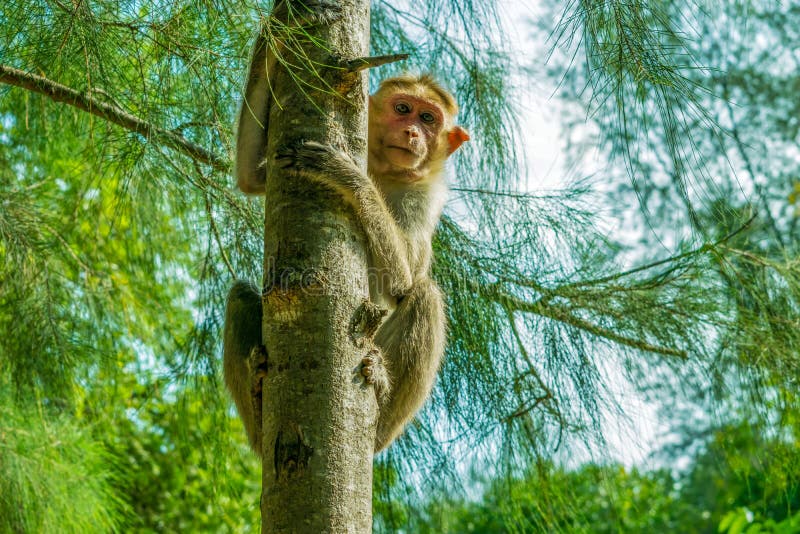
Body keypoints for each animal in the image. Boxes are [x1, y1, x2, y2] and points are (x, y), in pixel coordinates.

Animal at [225, 32, 470, 455]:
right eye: (403, 109)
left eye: (428, 118)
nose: (413, 133)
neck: (387, 171)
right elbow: (251, 177)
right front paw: (276, 36)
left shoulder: (424, 197)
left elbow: (402, 280)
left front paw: (345, 174)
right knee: (240, 295)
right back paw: (257, 395)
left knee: (425, 294)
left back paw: (381, 396)